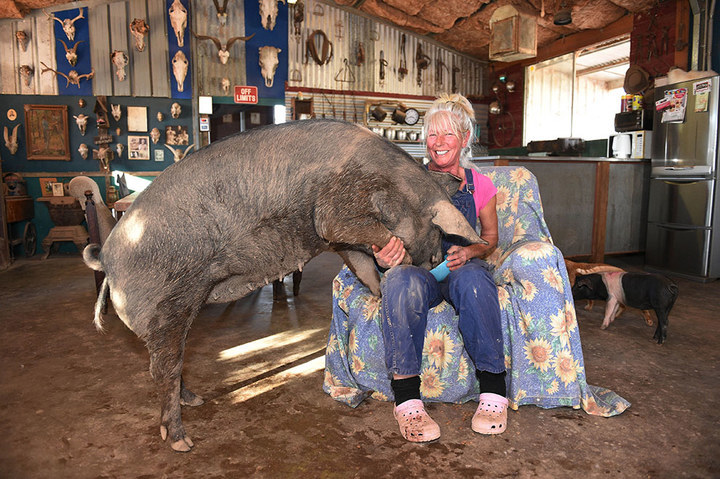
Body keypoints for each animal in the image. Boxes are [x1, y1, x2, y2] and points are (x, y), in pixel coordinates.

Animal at [83, 119, 484, 452]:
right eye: (438, 233)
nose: (433, 268)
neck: (394, 184)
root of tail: (107, 259)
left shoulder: (340, 241)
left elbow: (361, 263)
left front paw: (379, 293)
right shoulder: (337, 209)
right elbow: (350, 229)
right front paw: (394, 261)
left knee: (171, 366)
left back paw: (194, 400)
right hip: (166, 309)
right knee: (163, 370)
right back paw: (182, 441)